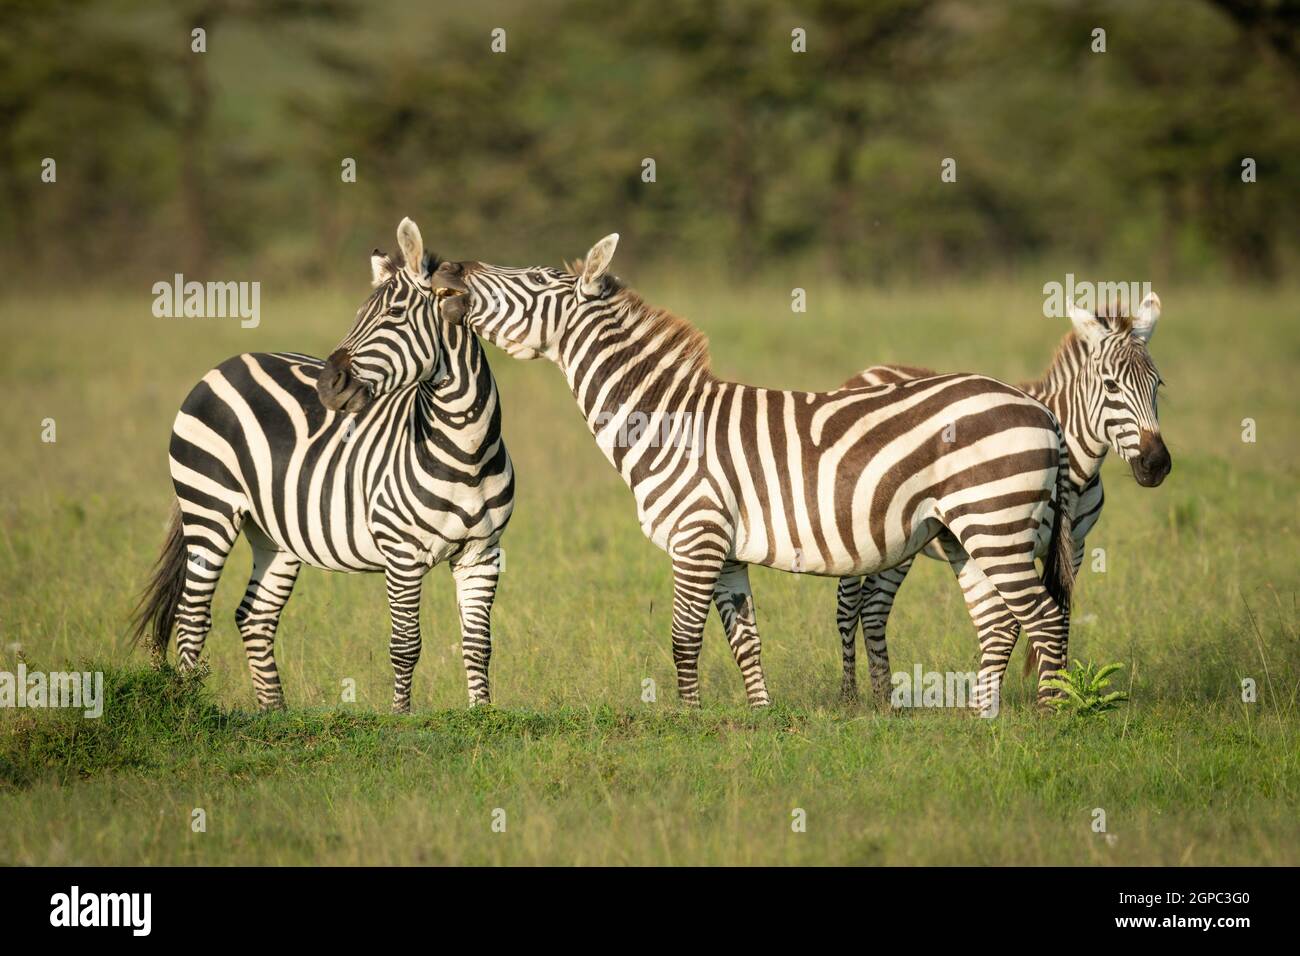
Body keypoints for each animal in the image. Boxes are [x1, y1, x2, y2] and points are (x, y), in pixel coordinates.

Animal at [131, 219, 514, 712]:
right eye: (358, 314)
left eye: (393, 315)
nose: (327, 386)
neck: (466, 454)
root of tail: (227, 364)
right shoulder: (402, 554)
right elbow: (406, 645)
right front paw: (402, 716)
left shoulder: (482, 554)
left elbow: (478, 644)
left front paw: (481, 714)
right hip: (209, 506)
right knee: (193, 615)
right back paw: (189, 708)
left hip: (273, 532)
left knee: (254, 617)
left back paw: (274, 714)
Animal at [431, 235, 1076, 711]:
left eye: (537, 279)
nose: (451, 267)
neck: (664, 422)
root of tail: (1039, 408)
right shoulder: (726, 549)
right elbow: (746, 640)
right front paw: (758, 718)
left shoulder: (695, 536)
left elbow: (683, 639)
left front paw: (688, 722)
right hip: (966, 533)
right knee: (999, 624)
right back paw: (983, 718)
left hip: (994, 521)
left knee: (1043, 618)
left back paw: (1051, 717)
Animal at [833, 295, 1169, 703]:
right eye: (1111, 386)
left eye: (1157, 385)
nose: (1156, 464)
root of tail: (866, 372)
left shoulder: (1073, 548)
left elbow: (1061, 613)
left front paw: (1059, 689)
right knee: (851, 604)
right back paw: (851, 695)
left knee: (872, 606)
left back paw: (882, 697)